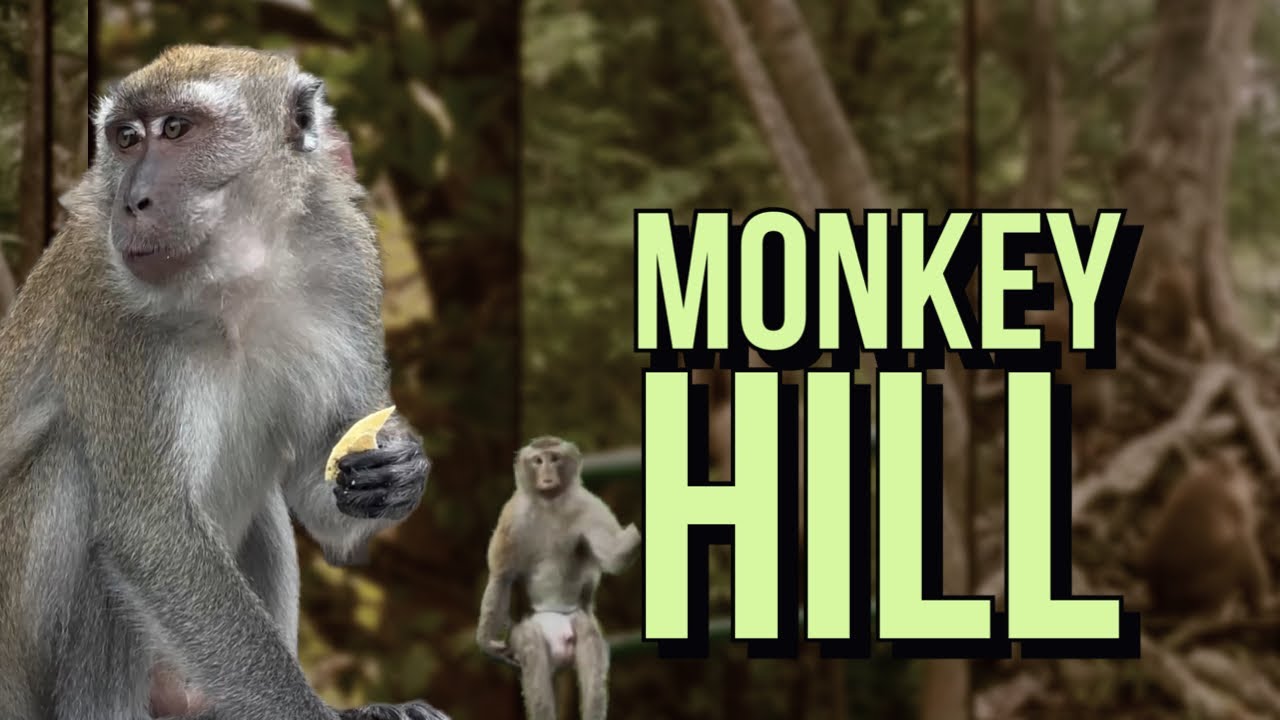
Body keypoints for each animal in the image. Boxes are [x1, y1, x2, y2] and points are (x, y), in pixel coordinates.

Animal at [0, 45, 448, 720]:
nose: (131, 200)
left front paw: (399, 468)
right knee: (78, 478)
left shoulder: (344, 260)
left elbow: (326, 504)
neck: (236, 278)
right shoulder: (108, 312)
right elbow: (154, 535)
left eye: (176, 129)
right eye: (126, 138)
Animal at [476, 437, 641, 720]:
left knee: (588, 638)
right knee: (531, 645)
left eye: (554, 458)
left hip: (576, 623)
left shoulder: (590, 505)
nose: (547, 475)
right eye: (538, 461)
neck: (550, 502)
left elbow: (614, 556)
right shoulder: (512, 513)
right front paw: (486, 642)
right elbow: (502, 576)